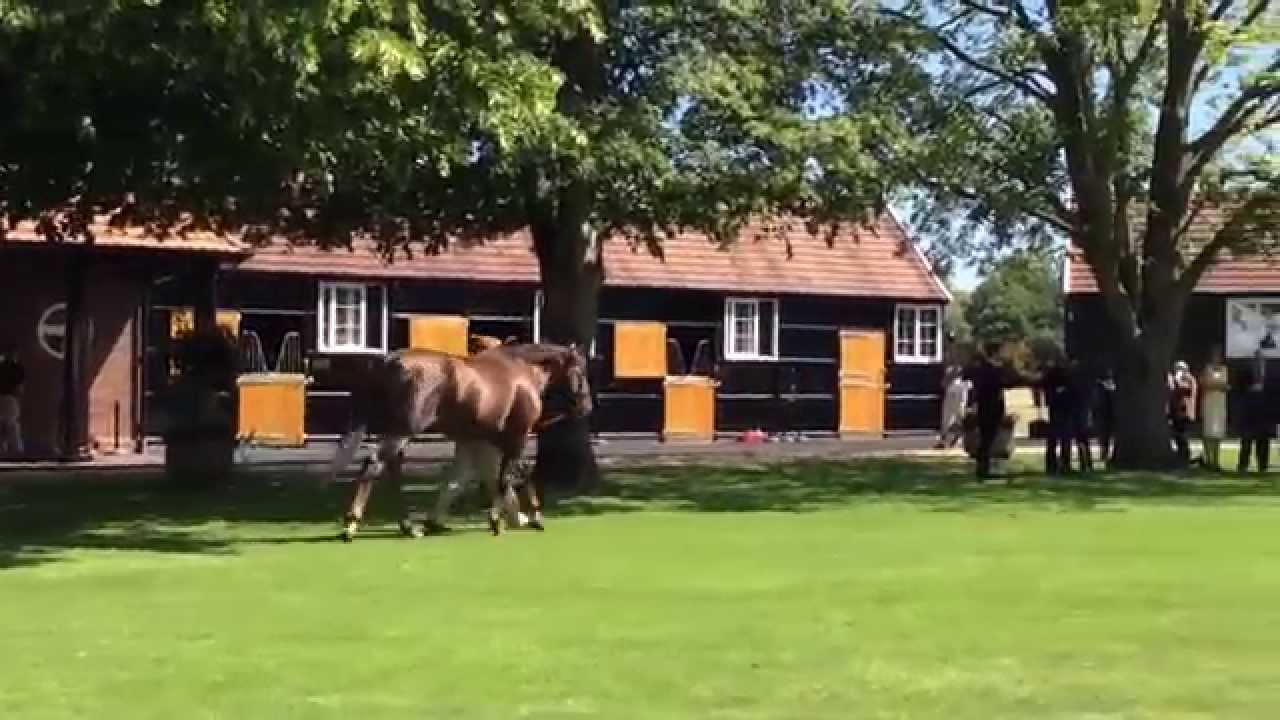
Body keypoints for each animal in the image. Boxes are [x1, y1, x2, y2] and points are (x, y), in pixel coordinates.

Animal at [328, 341, 592, 542]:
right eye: (581, 372)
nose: (586, 407)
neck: (523, 373)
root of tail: (390, 360)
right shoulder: (516, 437)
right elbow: (507, 478)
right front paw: (502, 520)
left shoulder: (495, 440)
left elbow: (513, 475)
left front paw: (529, 517)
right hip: (402, 431)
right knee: (374, 464)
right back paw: (352, 525)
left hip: (399, 433)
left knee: (392, 472)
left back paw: (410, 526)